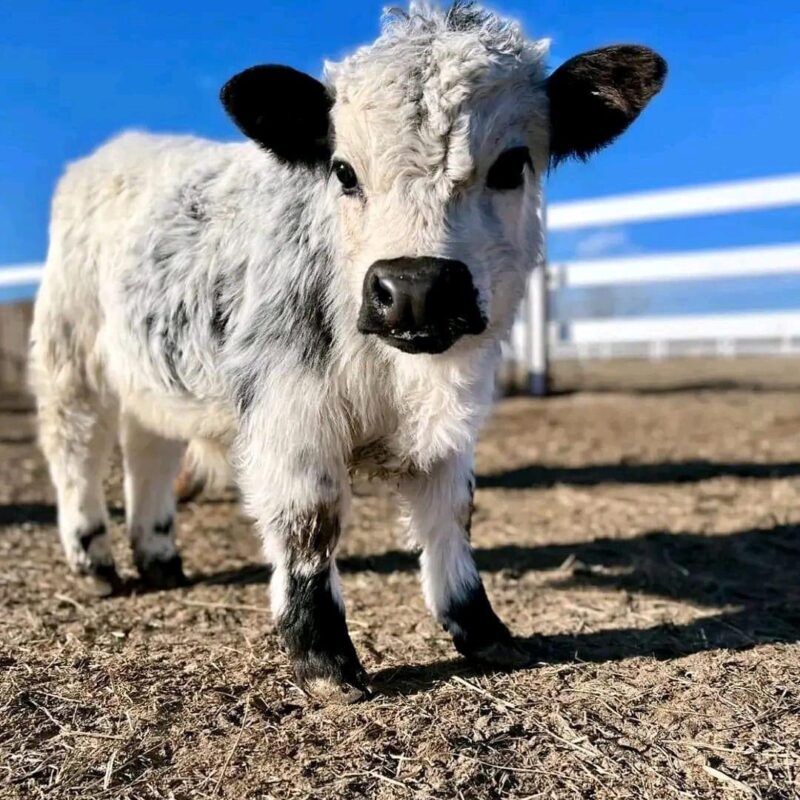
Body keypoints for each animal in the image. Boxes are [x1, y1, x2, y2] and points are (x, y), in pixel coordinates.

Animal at [29, 1, 666, 702]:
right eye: (343, 170)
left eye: (510, 165)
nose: (415, 289)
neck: (406, 378)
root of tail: (119, 149)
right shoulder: (291, 412)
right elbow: (311, 522)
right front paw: (324, 659)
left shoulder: (456, 427)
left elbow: (453, 515)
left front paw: (483, 630)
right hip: (70, 356)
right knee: (76, 448)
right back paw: (93, 559)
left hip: (153, 370)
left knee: (149, 448)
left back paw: (159, 557)